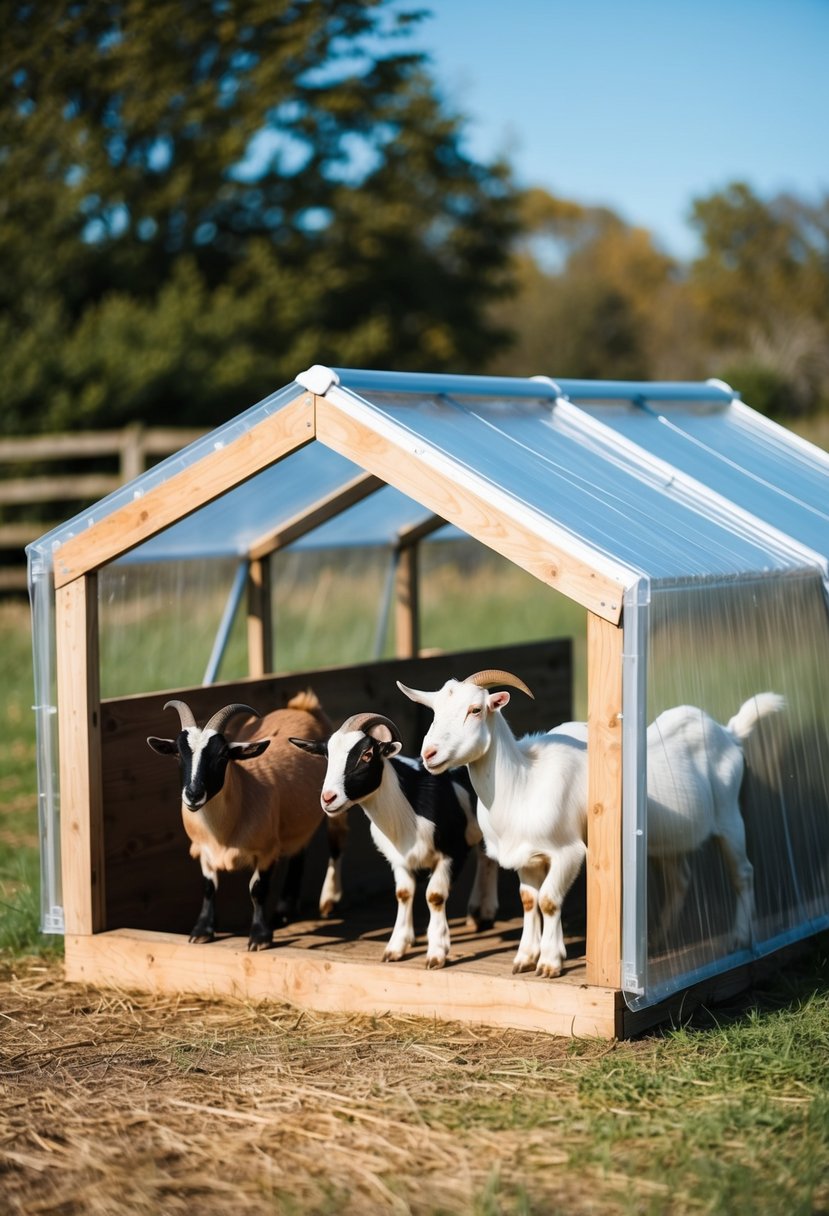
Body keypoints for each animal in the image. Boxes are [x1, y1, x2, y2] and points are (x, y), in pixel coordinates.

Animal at [147, 692, 347, 951]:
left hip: (335, 800)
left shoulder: (266, 851)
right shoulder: (203, 850)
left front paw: (260, 937)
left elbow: (257, 889)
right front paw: (202, 931)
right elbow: (209, 887)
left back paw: (328, 901)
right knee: (298, 850)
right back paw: (284, 911)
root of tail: (303, 706)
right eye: (178, 754)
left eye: (223, 755)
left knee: (336, 841)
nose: (193, 795)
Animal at [290, 712, 499, 968]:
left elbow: (435, 896)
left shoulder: (453, 852)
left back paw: (485, 911)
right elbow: (403, 894)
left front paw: (437, 953)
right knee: (486, 857)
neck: (407, 809)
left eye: (367, 755)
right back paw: (478, 913)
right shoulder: (398, 859)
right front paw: (396, 947)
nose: (329, 798)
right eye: (328, 756)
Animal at [398, 670, 785, 977]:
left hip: (730, 818)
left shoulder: (569, 852)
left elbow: (550, 901)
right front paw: (525, 957)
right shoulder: (525, 857)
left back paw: (740, 937)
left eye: (475, 710)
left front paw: (550, 963)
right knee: (680, 880)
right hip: (669, 839)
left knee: (743, 873)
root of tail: (729, 732)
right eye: (434, 712)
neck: (523, 783)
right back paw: (656, 941)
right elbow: (529, 901)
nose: (429, 754)